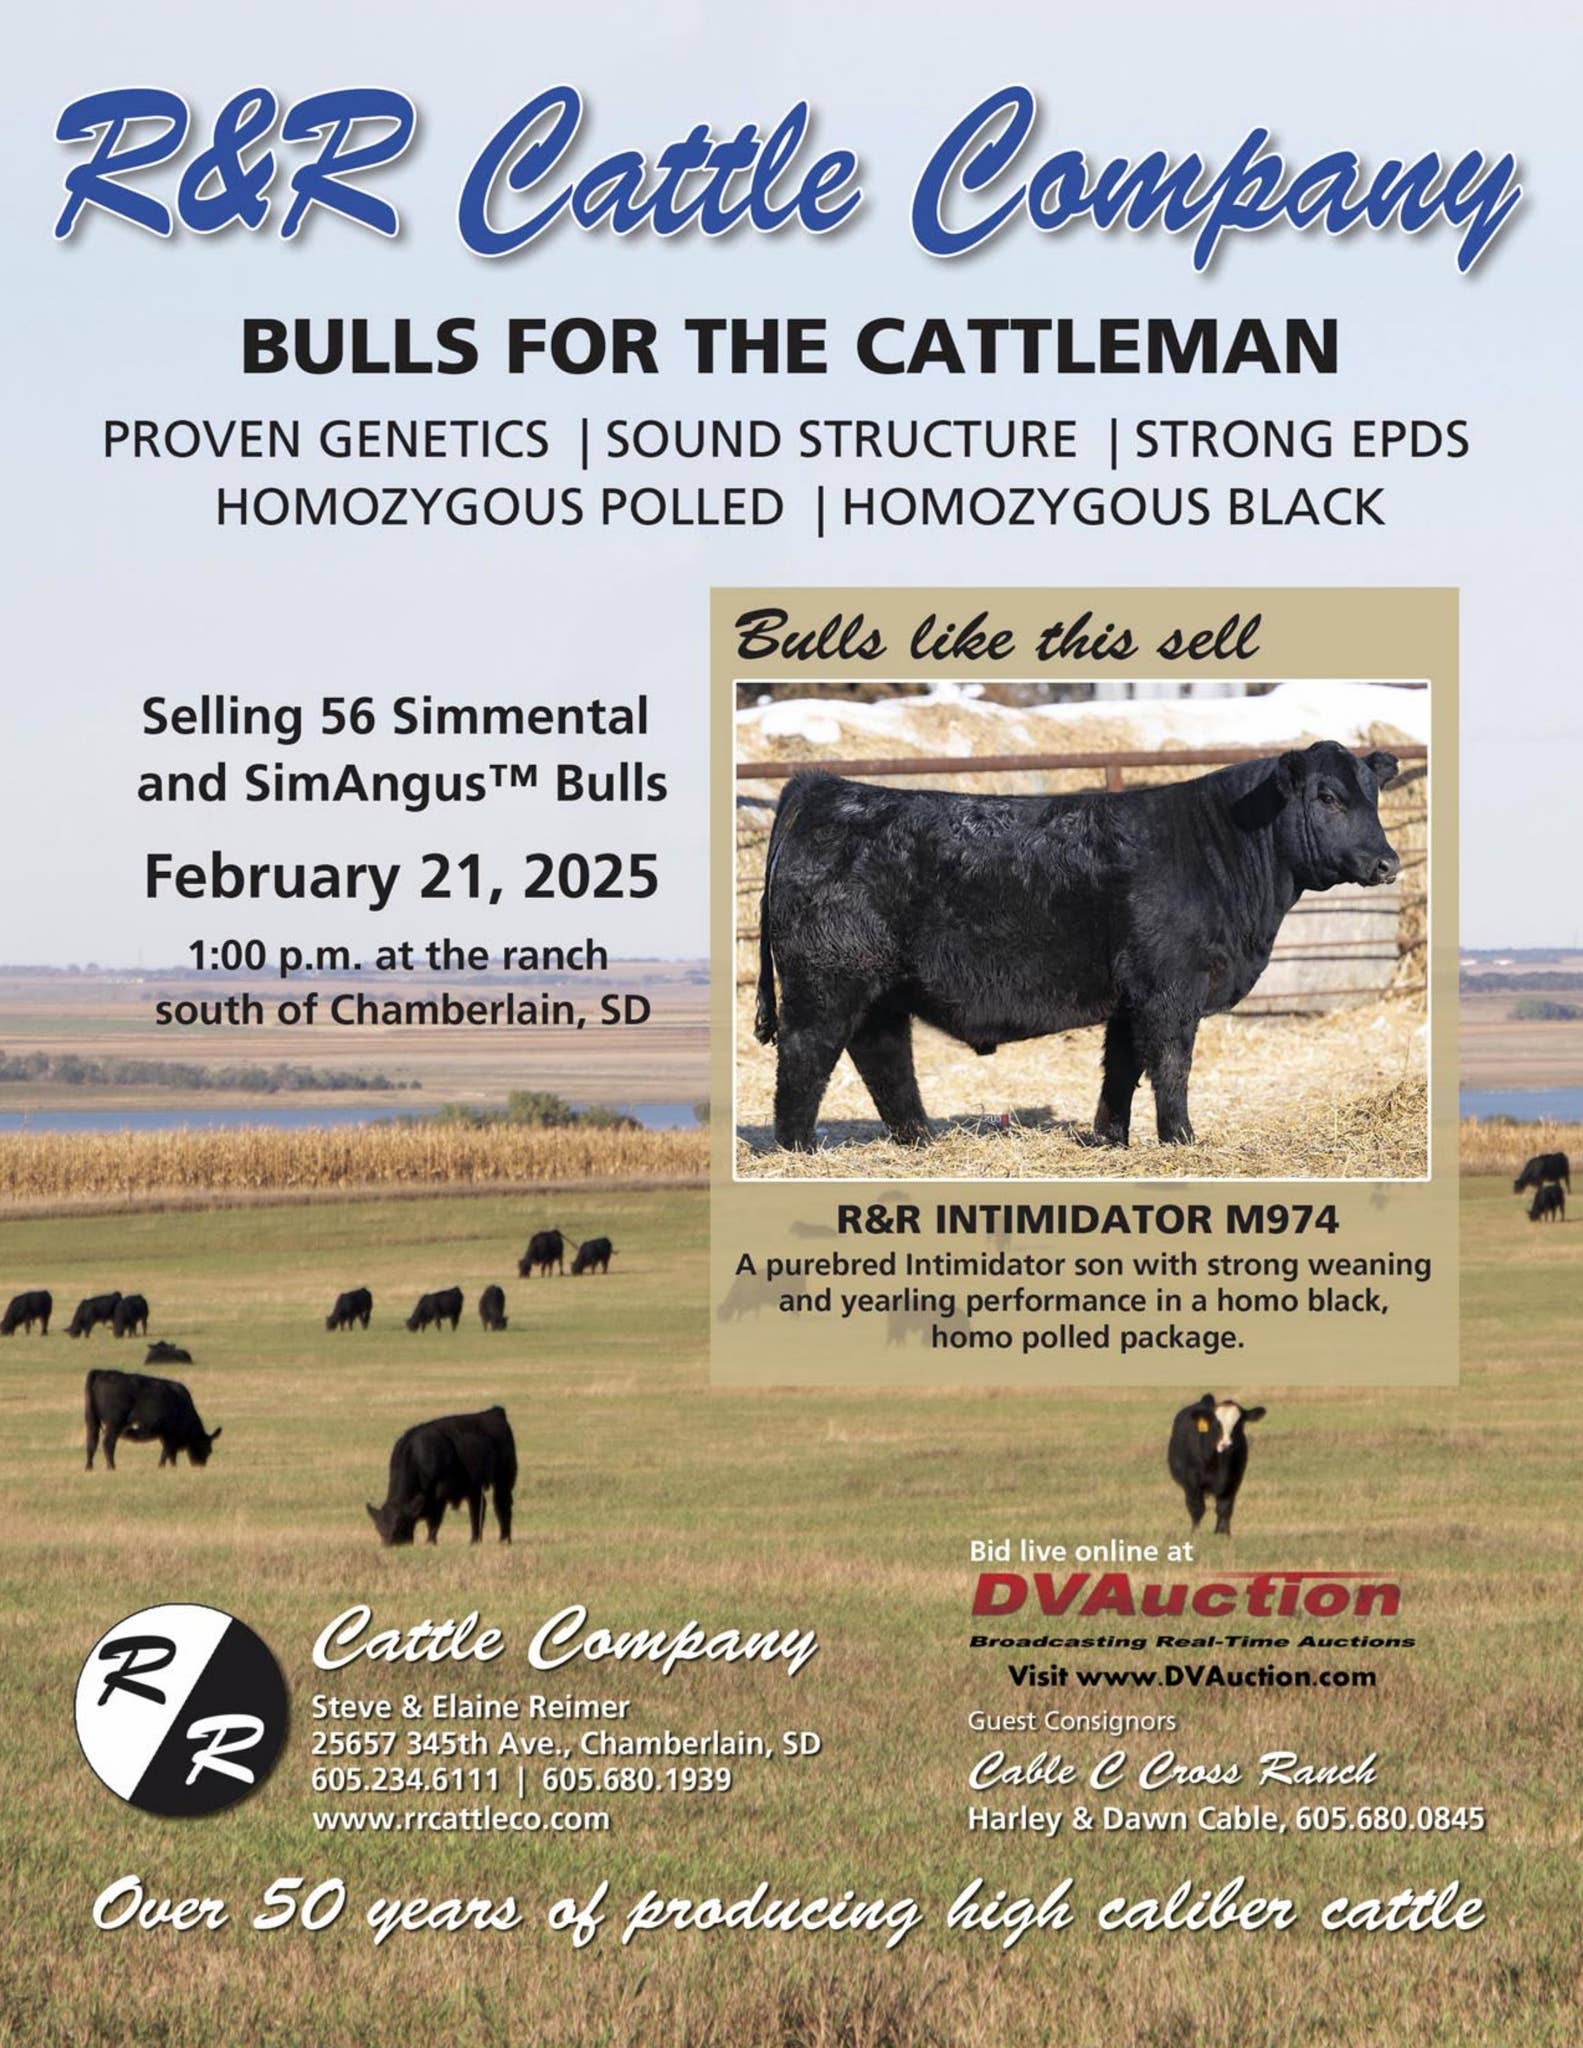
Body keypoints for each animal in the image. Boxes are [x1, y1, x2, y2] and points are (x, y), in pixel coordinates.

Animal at [84, 1369, 221, 1470]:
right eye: (207, 1449)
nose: (200, 1466)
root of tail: (102, 1372)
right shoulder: (170, 1434)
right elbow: (168, 1451)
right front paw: (162, 1466)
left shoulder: (165, 1435)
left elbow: (170, 1453)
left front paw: (172, 1467)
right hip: (114, 1424)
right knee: (108, 1444)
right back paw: (111, 1467)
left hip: (92, 1422)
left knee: (92, 1442)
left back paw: (89, 1468)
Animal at [366, 1405, 516, 1546]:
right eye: (378, 1528)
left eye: (400, 1527)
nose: (388, 1545)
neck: (416, 1455)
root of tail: (495, 1412)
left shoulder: (439, 1494)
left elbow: (434, 1519)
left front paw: (430, 1542)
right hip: (473, 1486)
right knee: (478, 1507)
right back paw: (474, 1540)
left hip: (504, 1478)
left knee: (502, 1505)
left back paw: (504, 1539)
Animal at [754, 745, 1402, 1151]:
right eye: (1328, 797)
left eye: (1374, 794)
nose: (1388, 862)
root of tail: (826, 787)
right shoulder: (1170, 988)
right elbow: (1171, 1064)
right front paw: (1181, 1139)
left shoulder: (1132, 996)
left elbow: (1122, 1068)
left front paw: (1112, 1139)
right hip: (825, 981)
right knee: (805, 1057)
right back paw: (799, 1151)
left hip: (880, 989)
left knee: (884, 1058)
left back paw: (920, 1140)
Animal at [1168, 1393, 1266, 1535]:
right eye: (1217, 1424)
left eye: (1238, 1424)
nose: (1226, 1445)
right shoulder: (1192, 1480)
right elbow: (1197, 1507)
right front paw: (1195, 1532)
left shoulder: (1234, 1479)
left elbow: (1224, 1507)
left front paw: (1223, 1533)